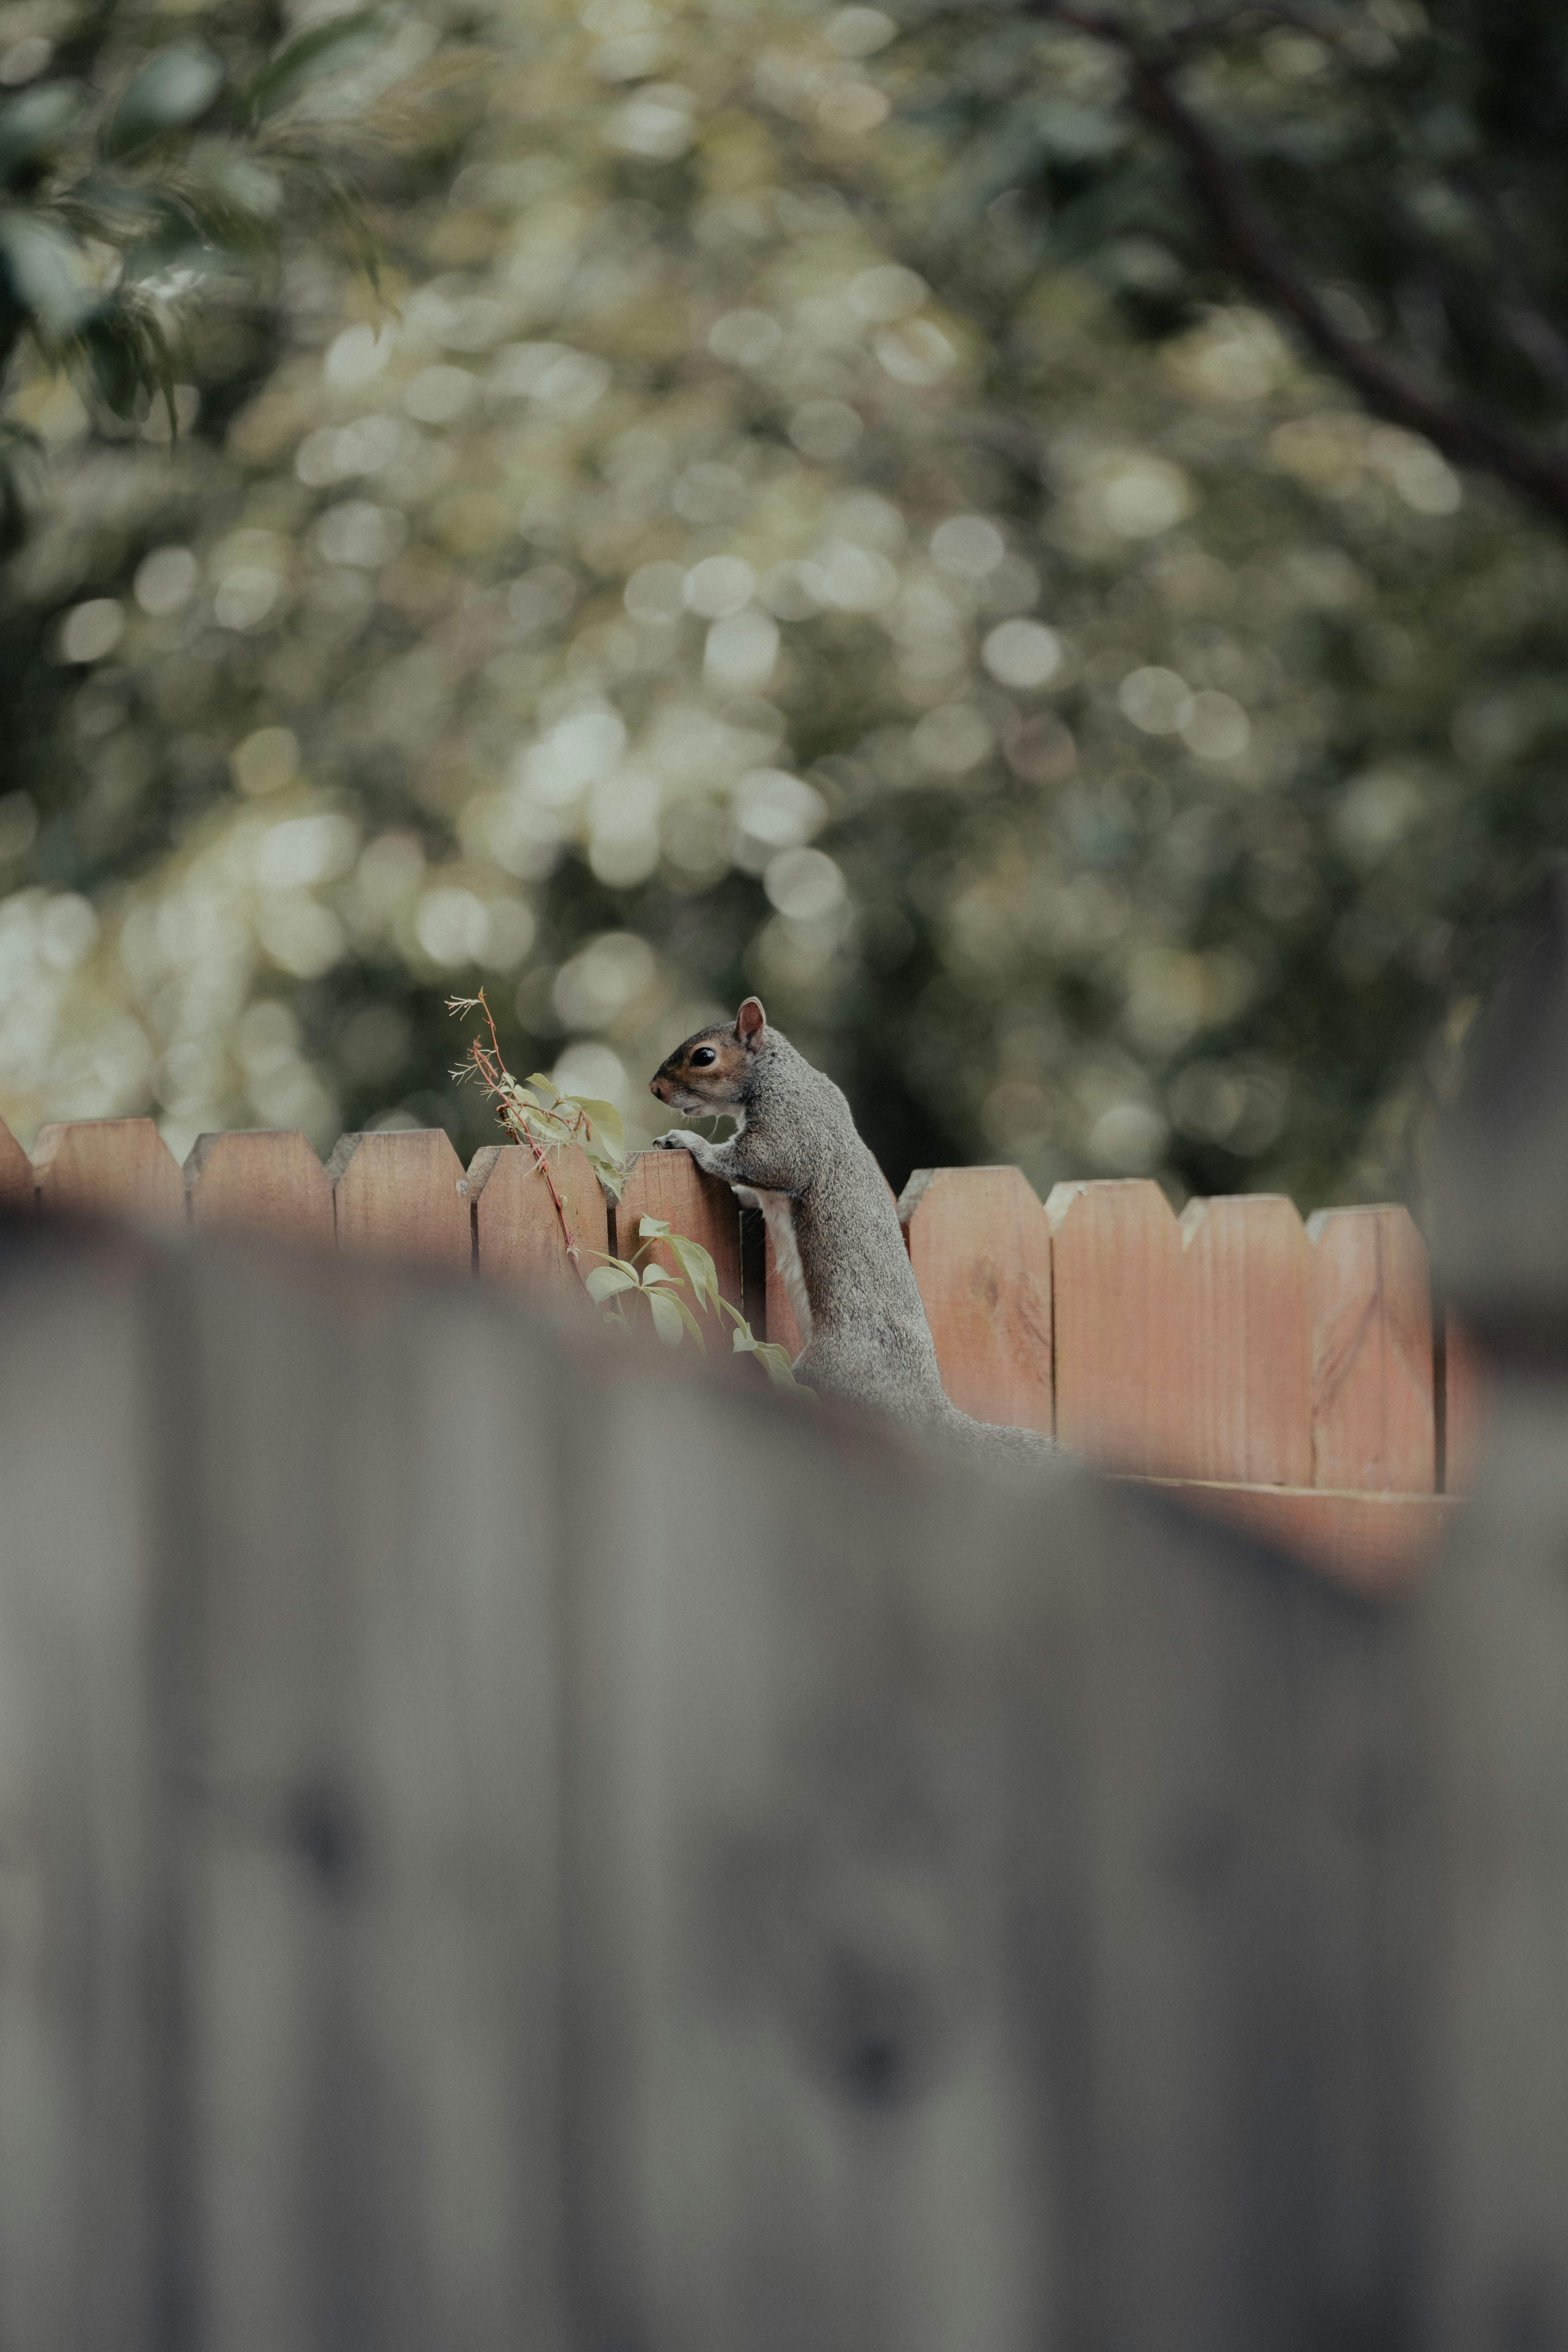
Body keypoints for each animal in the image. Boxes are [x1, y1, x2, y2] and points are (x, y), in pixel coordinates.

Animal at [649, 997, 1053, 1466]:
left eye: (705, 1056)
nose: (655, 1089)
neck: (781, 1073)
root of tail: (928, 1406)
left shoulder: (788, 1131)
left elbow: (755, 1161)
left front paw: (686, 1141)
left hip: (832, 1369)